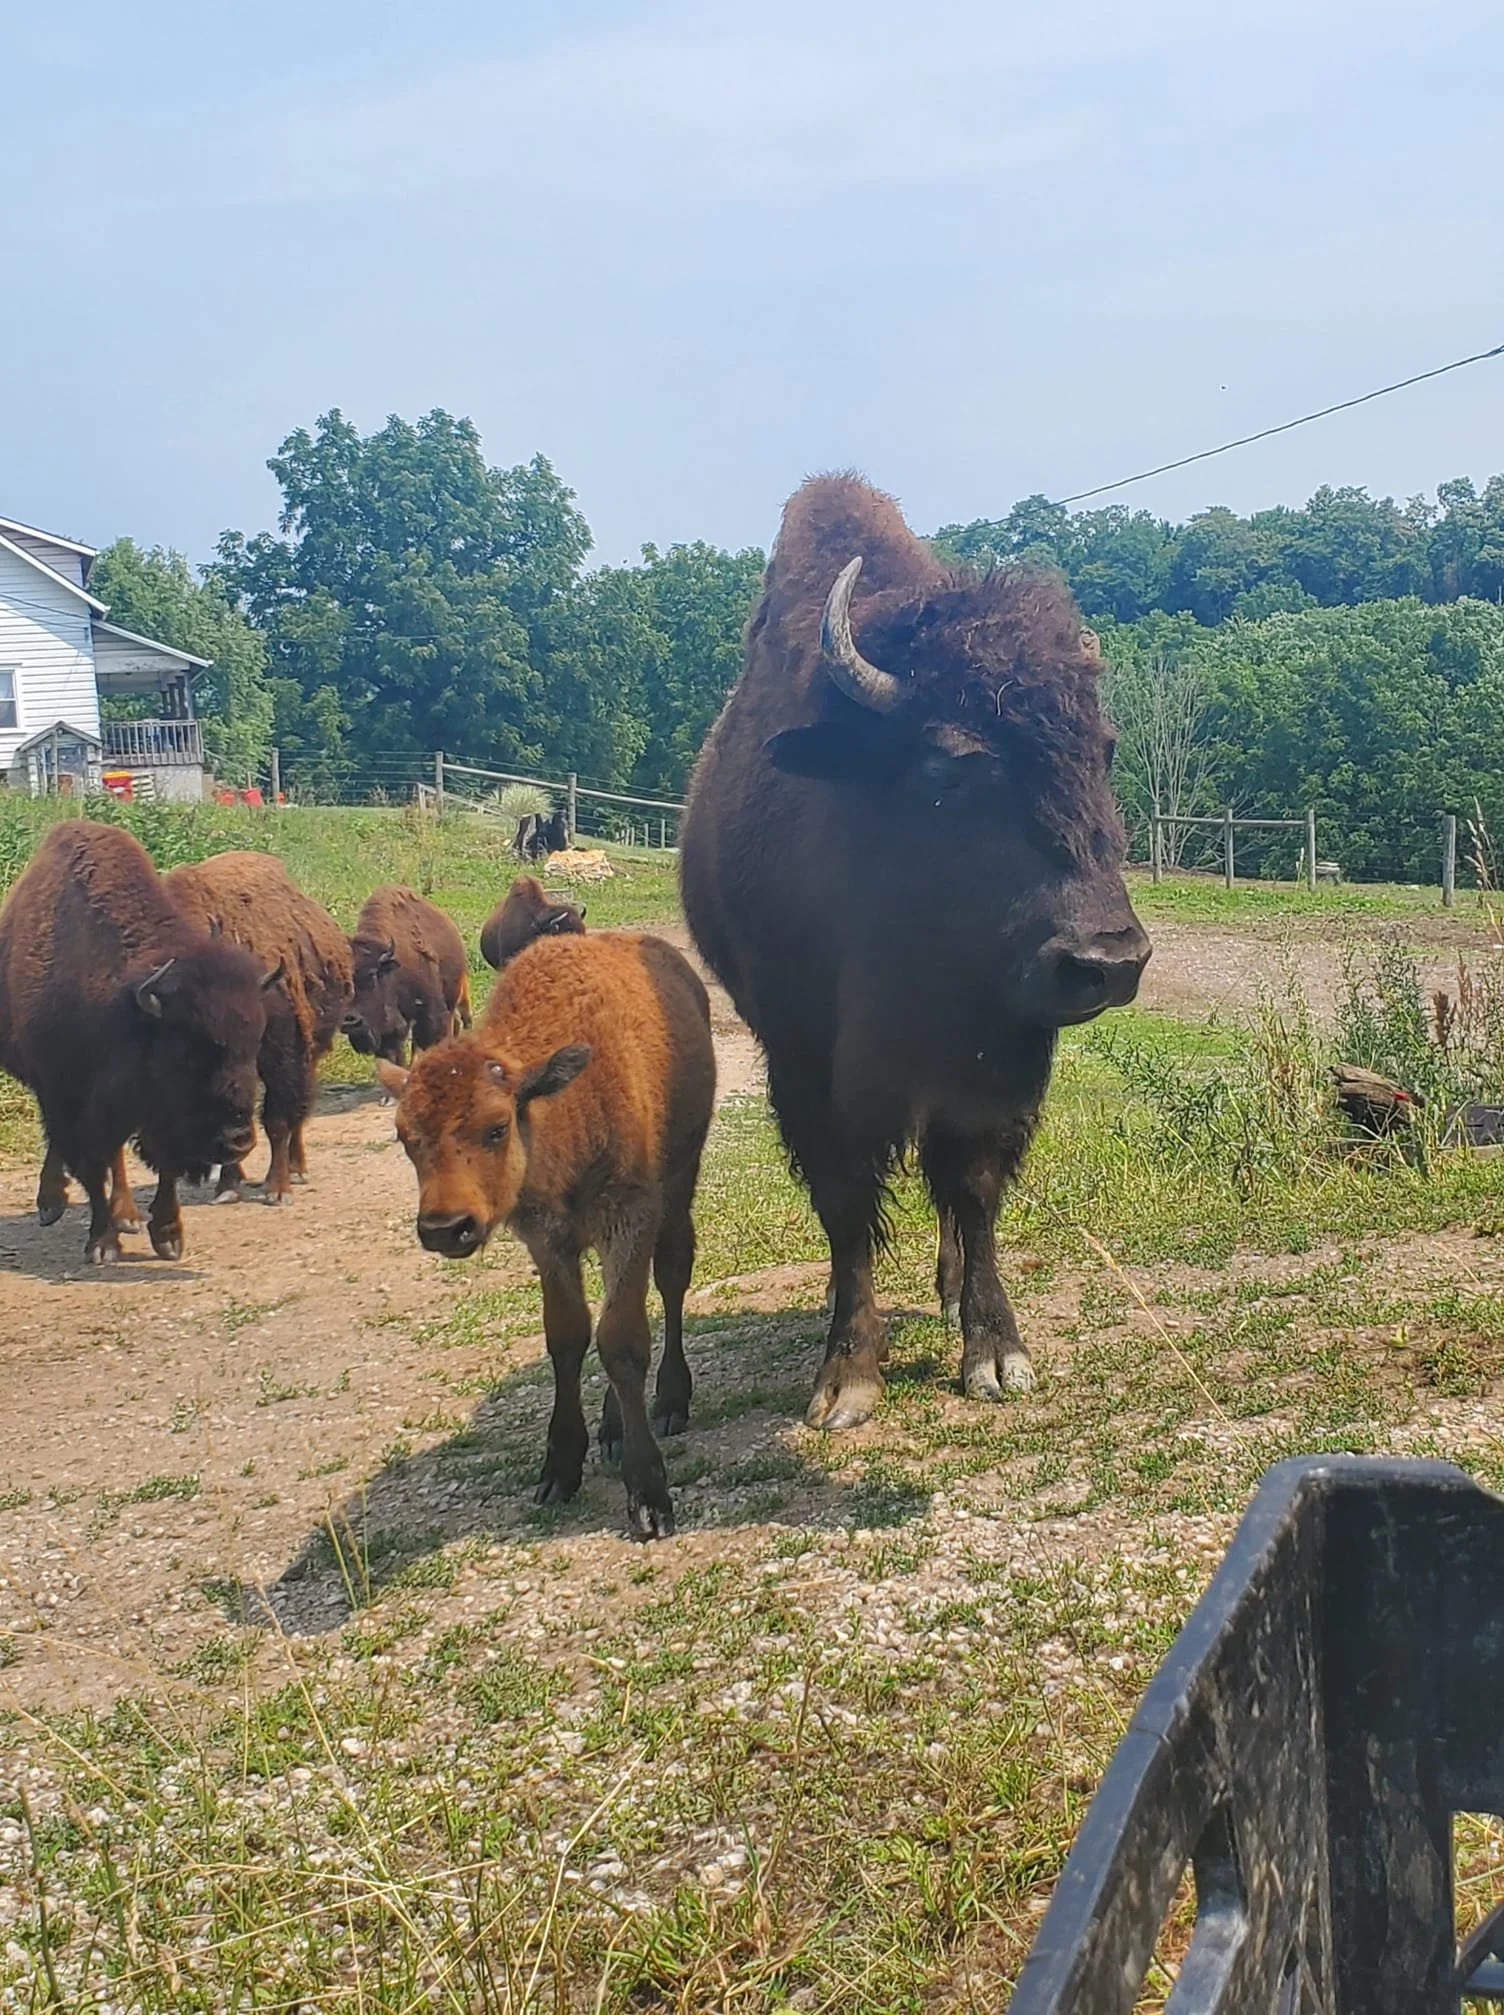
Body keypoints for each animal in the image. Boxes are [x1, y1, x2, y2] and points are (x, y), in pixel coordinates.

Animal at [0, 821, 274, 1261]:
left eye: (253, 1045)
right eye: (188, 1051)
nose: (239, 1140)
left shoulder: (149, 1111)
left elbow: (161, 1164)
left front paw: (167, 1235)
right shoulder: (67, 1098)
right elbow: (91, 1166)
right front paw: (102, 1243)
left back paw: (126, 1214)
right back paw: (53, 1204)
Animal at [165, 852, 353, 1201]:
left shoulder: (282, 1053)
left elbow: (277, 1120)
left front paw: (276, 1190)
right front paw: (227, 1187)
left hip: (310, 1051)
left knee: (299, 1110)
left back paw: (297, 1170)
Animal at [382, 931, 714, 1539]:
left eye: (496, 1127)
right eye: (404, 1137)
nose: (446, 1228)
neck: (556, 1106)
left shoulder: (628, 1219)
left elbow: (622, 1340)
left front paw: (649, 1496)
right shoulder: (548, 1242)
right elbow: (568, 1336)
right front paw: (560, 1467)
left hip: (680, 1181)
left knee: (672, 1277)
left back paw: (670, 1402)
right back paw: (612, 1429)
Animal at [680, 475, 1150, 1427]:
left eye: (1104, 749)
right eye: (950, 764)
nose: (1109, 958)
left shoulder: (998, 1059)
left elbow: (973, 1188)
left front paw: (995, 1353)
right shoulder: (806, 1060)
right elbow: (845, 1202)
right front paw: (845, 1376)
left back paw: (946, 1289)